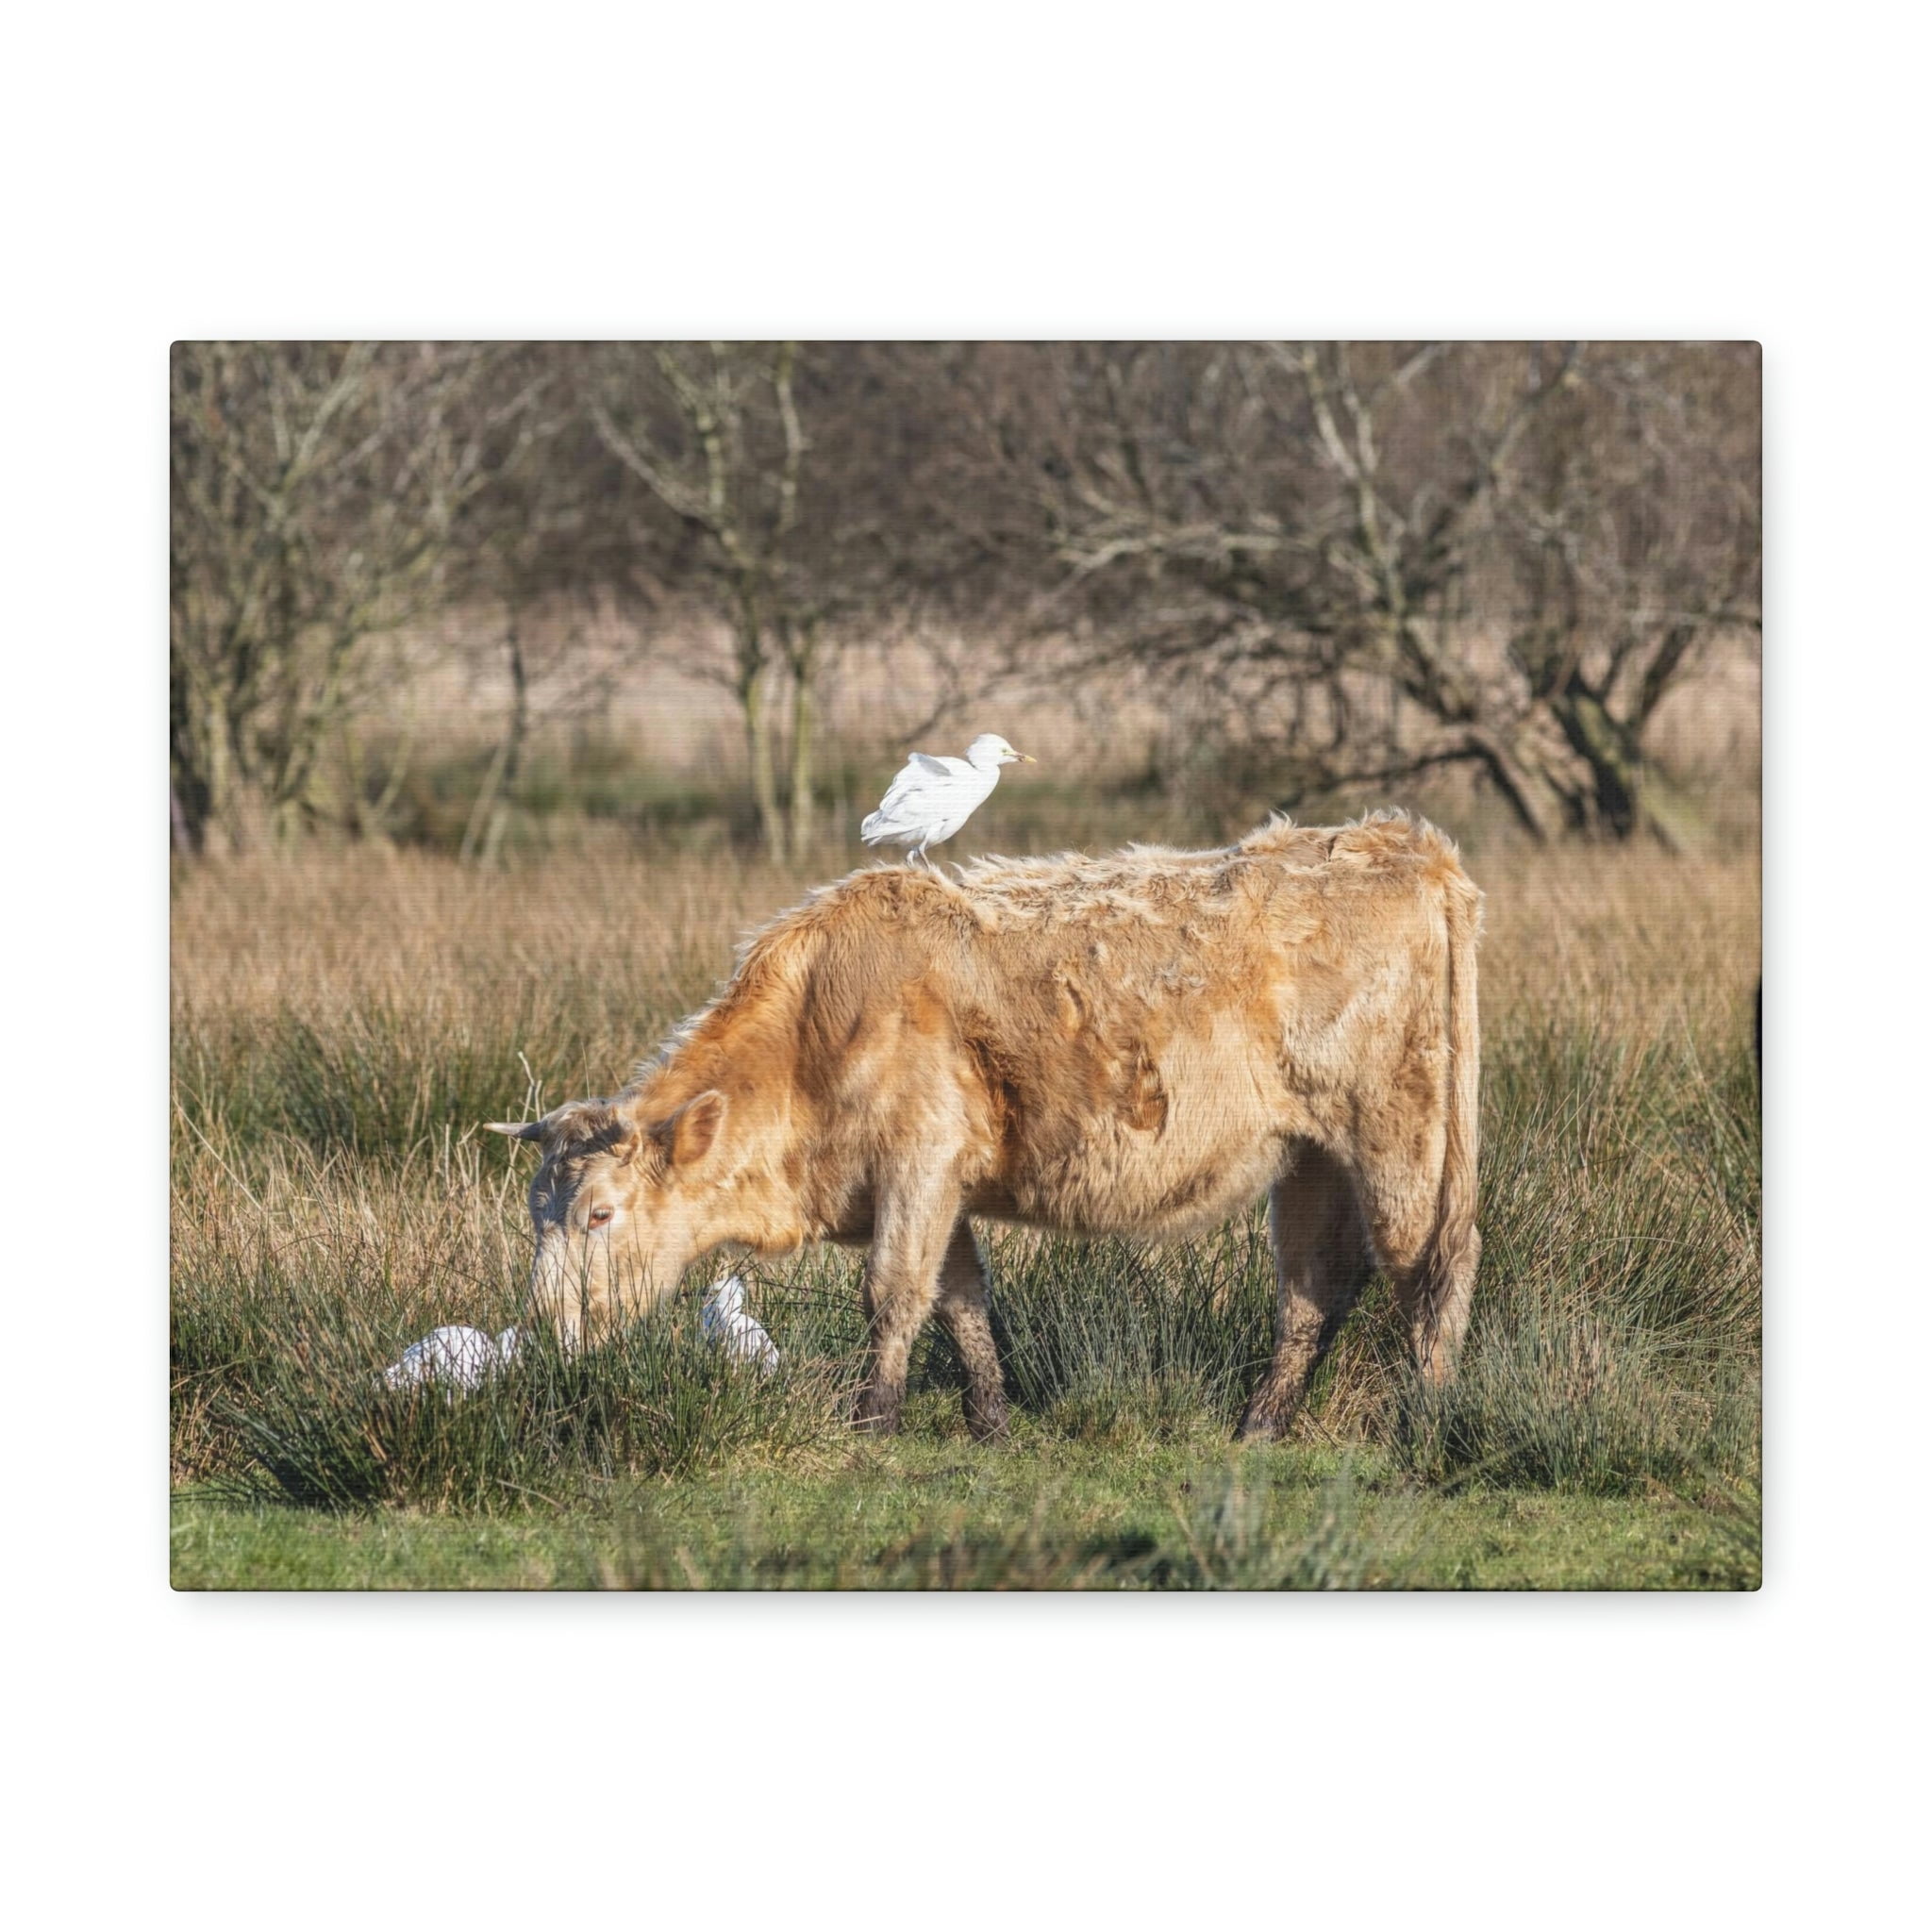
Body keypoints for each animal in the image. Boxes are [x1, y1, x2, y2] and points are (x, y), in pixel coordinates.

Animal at [487, 812, 1483, 1441]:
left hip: (1403, 1137)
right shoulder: (941, 1188)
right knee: (1314, 1287)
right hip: (1312, 1157)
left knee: (1431, 1265)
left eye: (602, 1214)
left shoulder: (918, 1166)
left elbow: (894, 1294)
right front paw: (991, 1421)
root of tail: (1406, 843)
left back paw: (1426, 1416)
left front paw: (872, 1421)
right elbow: (962, 1301)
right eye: (536, 1215)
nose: (542, 1333)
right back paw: (1259, 1424)